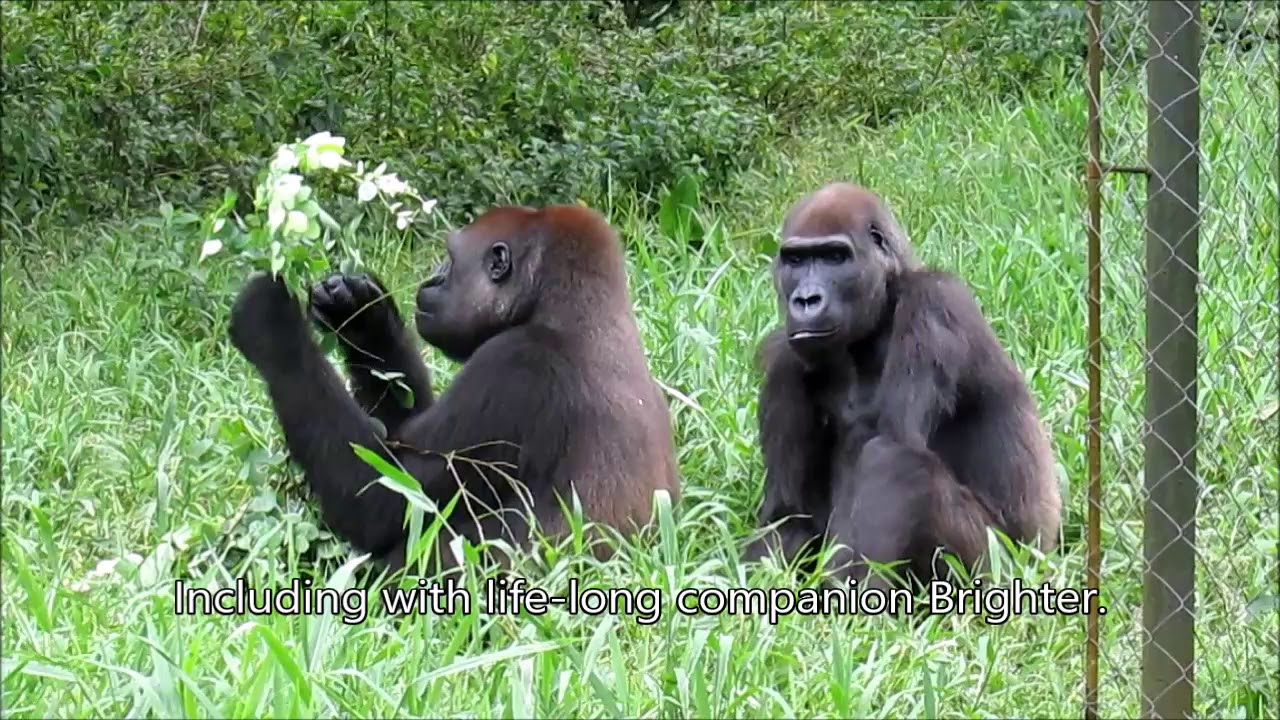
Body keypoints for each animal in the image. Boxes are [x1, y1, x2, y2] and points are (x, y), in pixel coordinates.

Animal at [228, 204, 680, 573]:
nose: (431, 279)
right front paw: (363, 317)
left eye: (449, 258)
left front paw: (272, 323)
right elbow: (393, 437)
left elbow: (383, 504)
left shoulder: (512, 368)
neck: (576, 310)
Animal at [744, 182, 1061, 591]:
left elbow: (895, 446)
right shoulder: (786, 356)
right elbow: (788, 514)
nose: (806, 300)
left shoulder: (932, 305)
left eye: (834, 257)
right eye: (796, 261)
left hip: (1005, 568)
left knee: (896, 461)